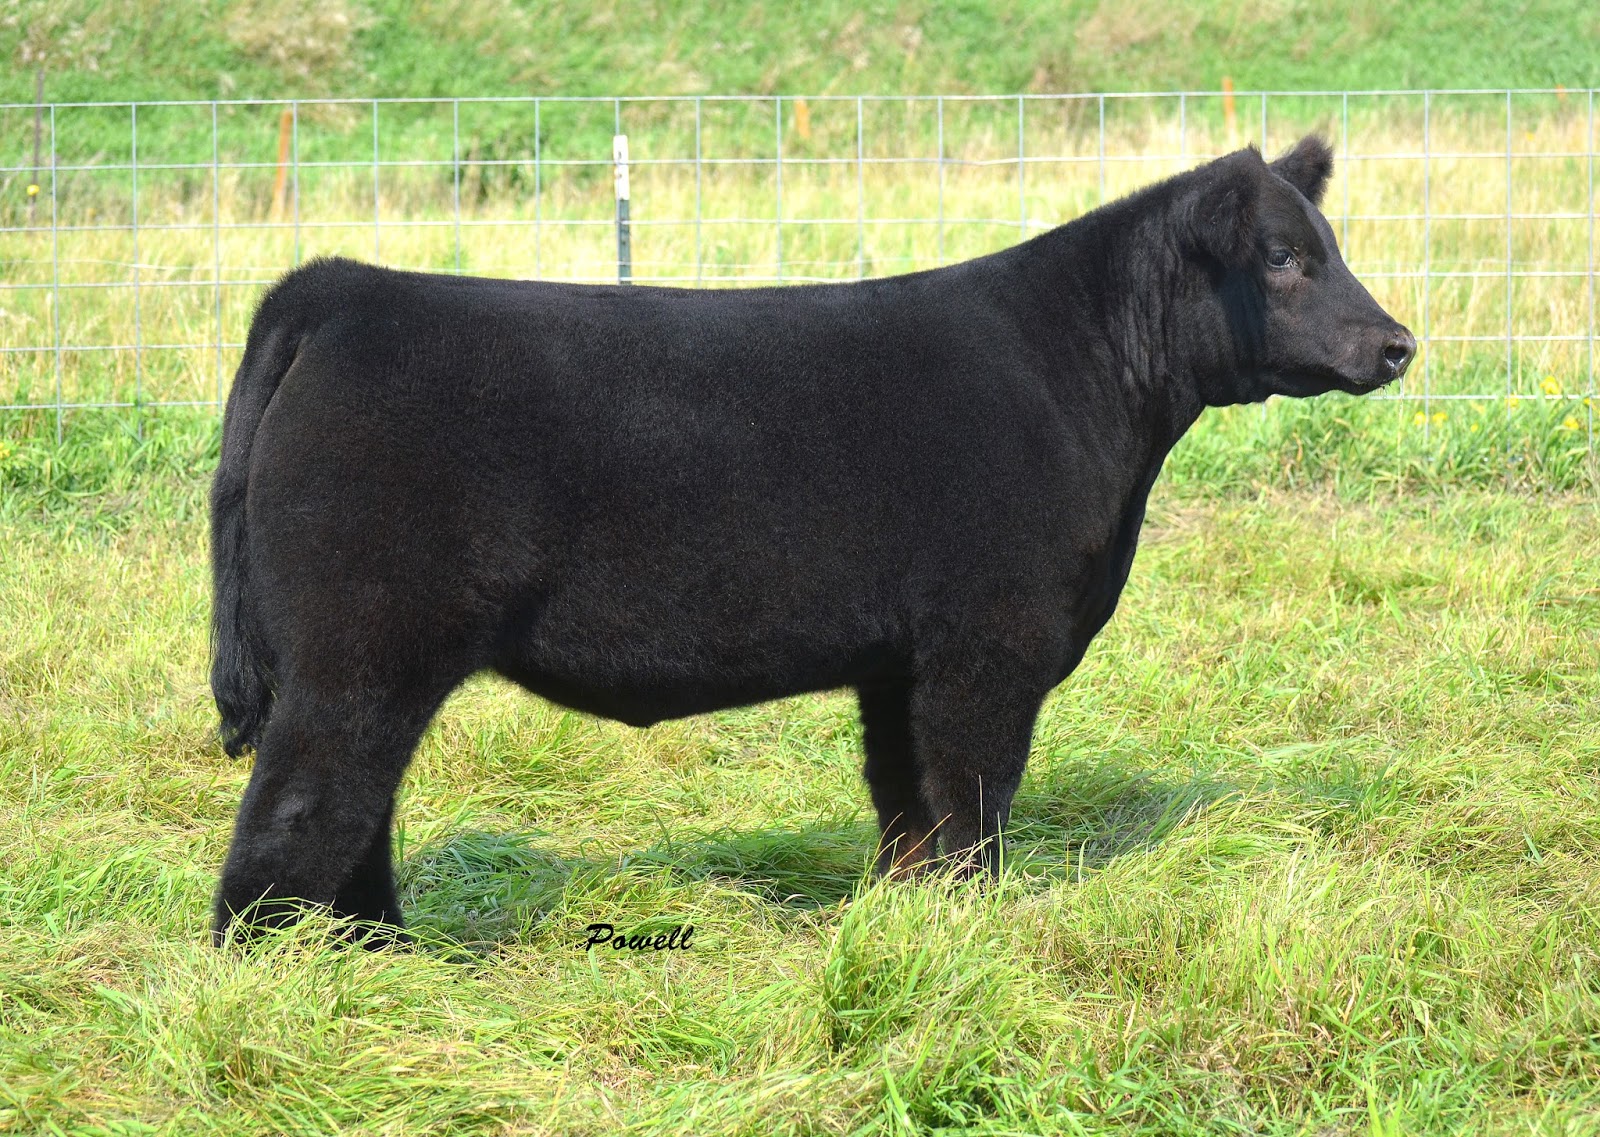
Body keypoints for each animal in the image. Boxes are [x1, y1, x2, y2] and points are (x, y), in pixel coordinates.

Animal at [209, 135, 1414, 942]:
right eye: (1280, 256)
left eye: (1326, 245)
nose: (1398, 342)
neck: (1083, 377)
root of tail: (345, 287)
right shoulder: (990, 643)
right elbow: (973, 798)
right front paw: (977, 932)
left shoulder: (900, 658)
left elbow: (907, 805)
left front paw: (908, 925)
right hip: (357, 653)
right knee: (297, 813)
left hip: (364, 665)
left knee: (357, 812)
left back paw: (382, 952)